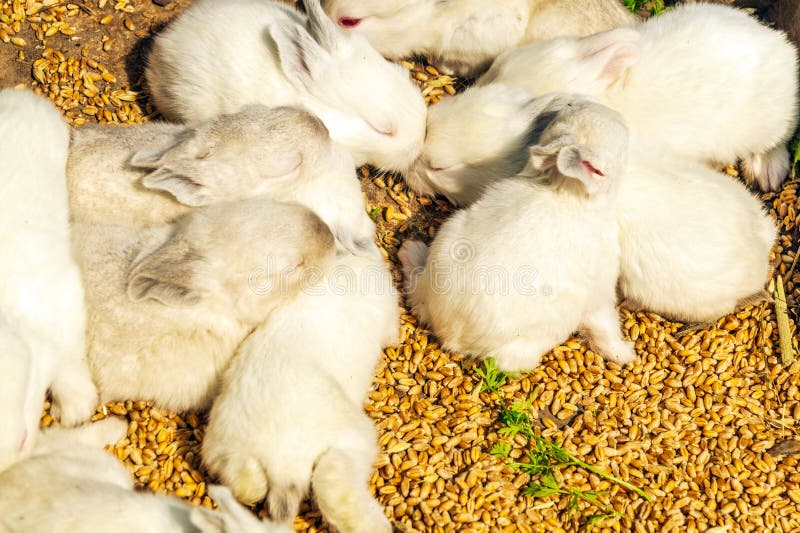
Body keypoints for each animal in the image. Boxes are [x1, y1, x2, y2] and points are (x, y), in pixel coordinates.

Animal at [202, 247, 399, 532]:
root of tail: (284, 467)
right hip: (354, 436)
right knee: (333, 482)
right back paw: (375, 525)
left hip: (222, 446)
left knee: (248, 485)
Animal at [399, 98, 635, 372]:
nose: (575, 102)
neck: (567, 191)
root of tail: (450, 333)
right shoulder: (599, 294)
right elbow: (604, 326)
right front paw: (626, 354)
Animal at [478, 2, 799, 191]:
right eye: (495, 68)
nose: (477, 86)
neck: (610, 98)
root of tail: (783, 49)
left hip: (766, 125)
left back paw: (765, 171)